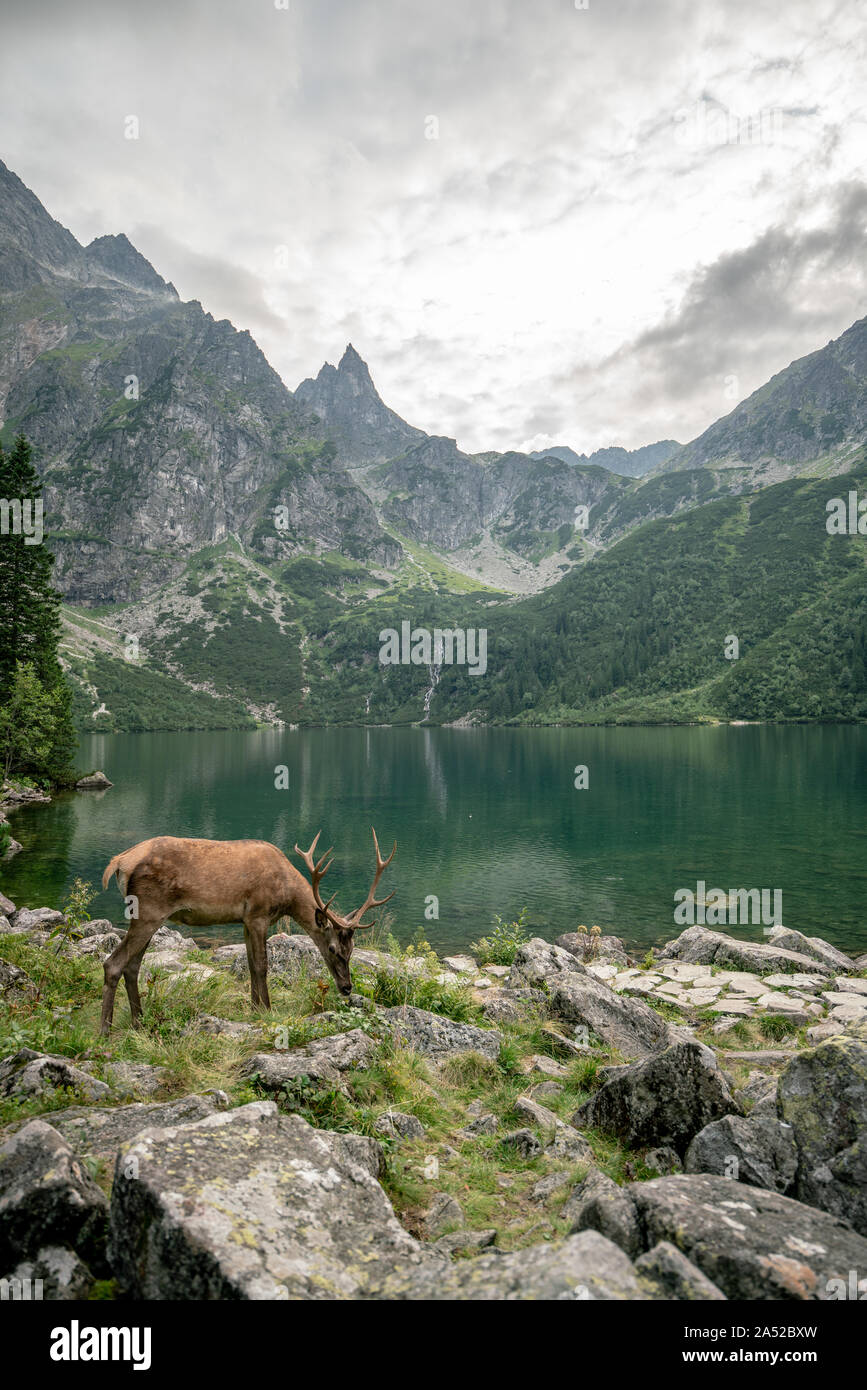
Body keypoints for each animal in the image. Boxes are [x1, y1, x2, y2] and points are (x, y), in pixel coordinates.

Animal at [98, 828, 395, 1035]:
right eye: (332, 948)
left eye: (353, 949)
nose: (346, 987)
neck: (286, 893)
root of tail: (119, 862)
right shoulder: (258, 914)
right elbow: (262, 965)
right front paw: (268, 1009)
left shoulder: (244, 921)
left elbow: (251, 964)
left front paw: (254, 1008)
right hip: (149, 910)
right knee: (113, 963)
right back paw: (105, 1031)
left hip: (148, 916)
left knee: (132, 965)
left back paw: (139, 1022)